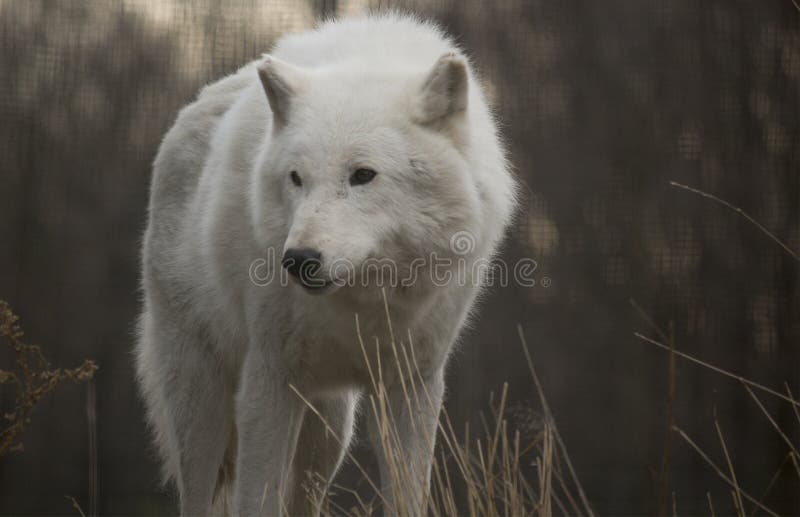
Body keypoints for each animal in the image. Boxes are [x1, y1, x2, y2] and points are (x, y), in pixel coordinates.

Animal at [135, 13, 516, 516]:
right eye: (296, 178)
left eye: (363, 175)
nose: (298, 260)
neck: (362, 305)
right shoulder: (269, 378)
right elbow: (256, 498)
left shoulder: (412, 386)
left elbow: (406, 493)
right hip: (202, 405)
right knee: (198, 494)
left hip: (329, 426)